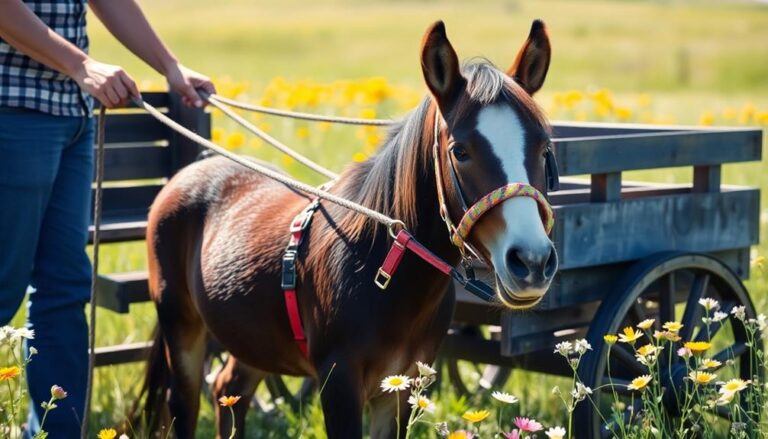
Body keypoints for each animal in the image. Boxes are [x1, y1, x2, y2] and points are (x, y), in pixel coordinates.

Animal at [138, 19, 557, 439]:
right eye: (460, 151)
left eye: (544, 147)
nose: (532, 261)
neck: (380, 267)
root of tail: (190, 171)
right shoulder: (339, 382)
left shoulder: (400, 385)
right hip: (181, 326)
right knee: (184, 403)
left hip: (251, 337)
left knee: (229, 391)